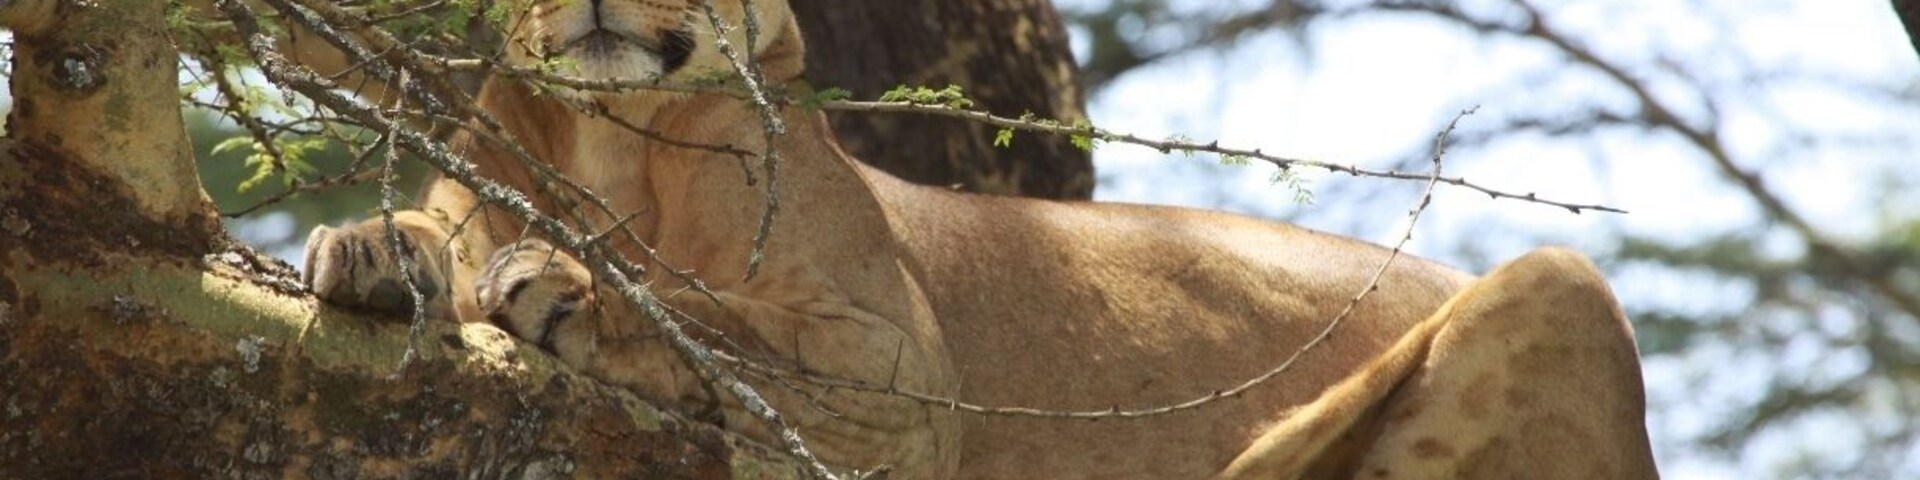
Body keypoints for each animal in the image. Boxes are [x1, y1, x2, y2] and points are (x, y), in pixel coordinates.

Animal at [300, 1, 1661, 478]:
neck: (605, 144)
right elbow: (426, 222)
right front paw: (375, 251)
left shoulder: (902, 383)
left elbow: (707, 315)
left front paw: (565, 285)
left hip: (1565, 281)